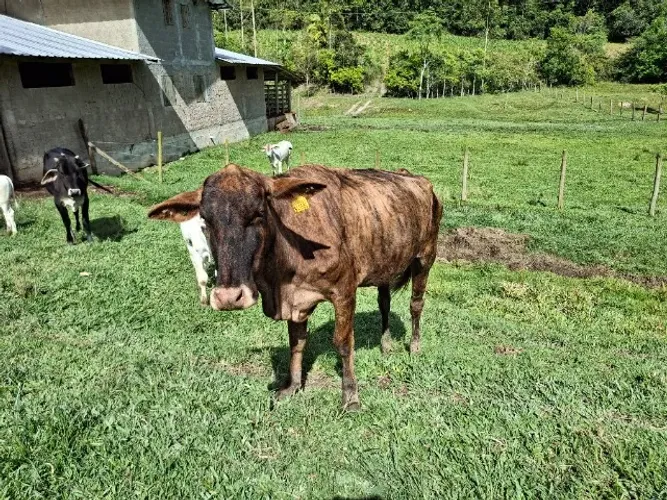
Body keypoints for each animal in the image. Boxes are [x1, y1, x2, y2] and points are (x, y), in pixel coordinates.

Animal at [148, 164, 442, 410]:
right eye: (205, 220)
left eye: (259, 213)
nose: (230, 297)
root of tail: (418, 179)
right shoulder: (296, 302)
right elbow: (296, 342)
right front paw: (292, 386)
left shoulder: (344, 291)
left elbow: (343, 343)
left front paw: (350, 396)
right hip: (385, 264)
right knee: (384, 303)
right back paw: (386, 344)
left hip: (425, 257)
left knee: (416, 304)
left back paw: (414, 345)